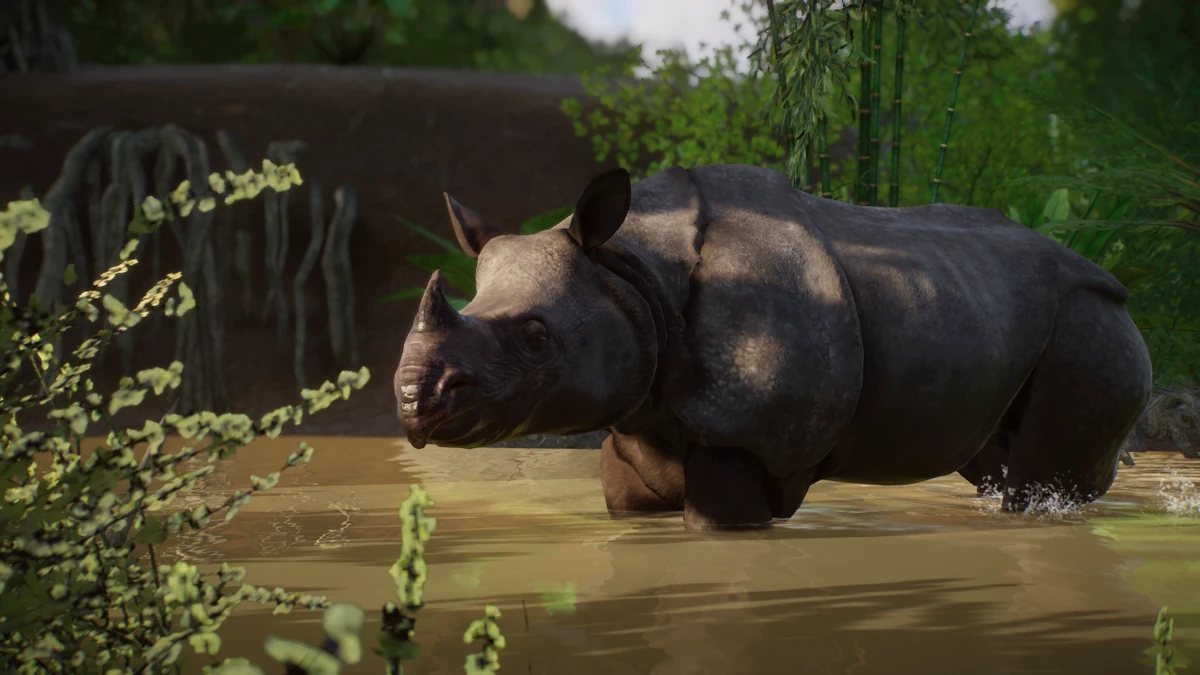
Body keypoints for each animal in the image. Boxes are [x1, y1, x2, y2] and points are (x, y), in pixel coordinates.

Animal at [394, 164, 1152, 531]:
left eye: (535, 338)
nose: (410, 397)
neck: (633, 268)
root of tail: (1114, 282)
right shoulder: (638, 420)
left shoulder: (748, 437)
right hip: (981, 306)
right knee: (991, 457)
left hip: (1093, 320)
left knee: (1044, 475)